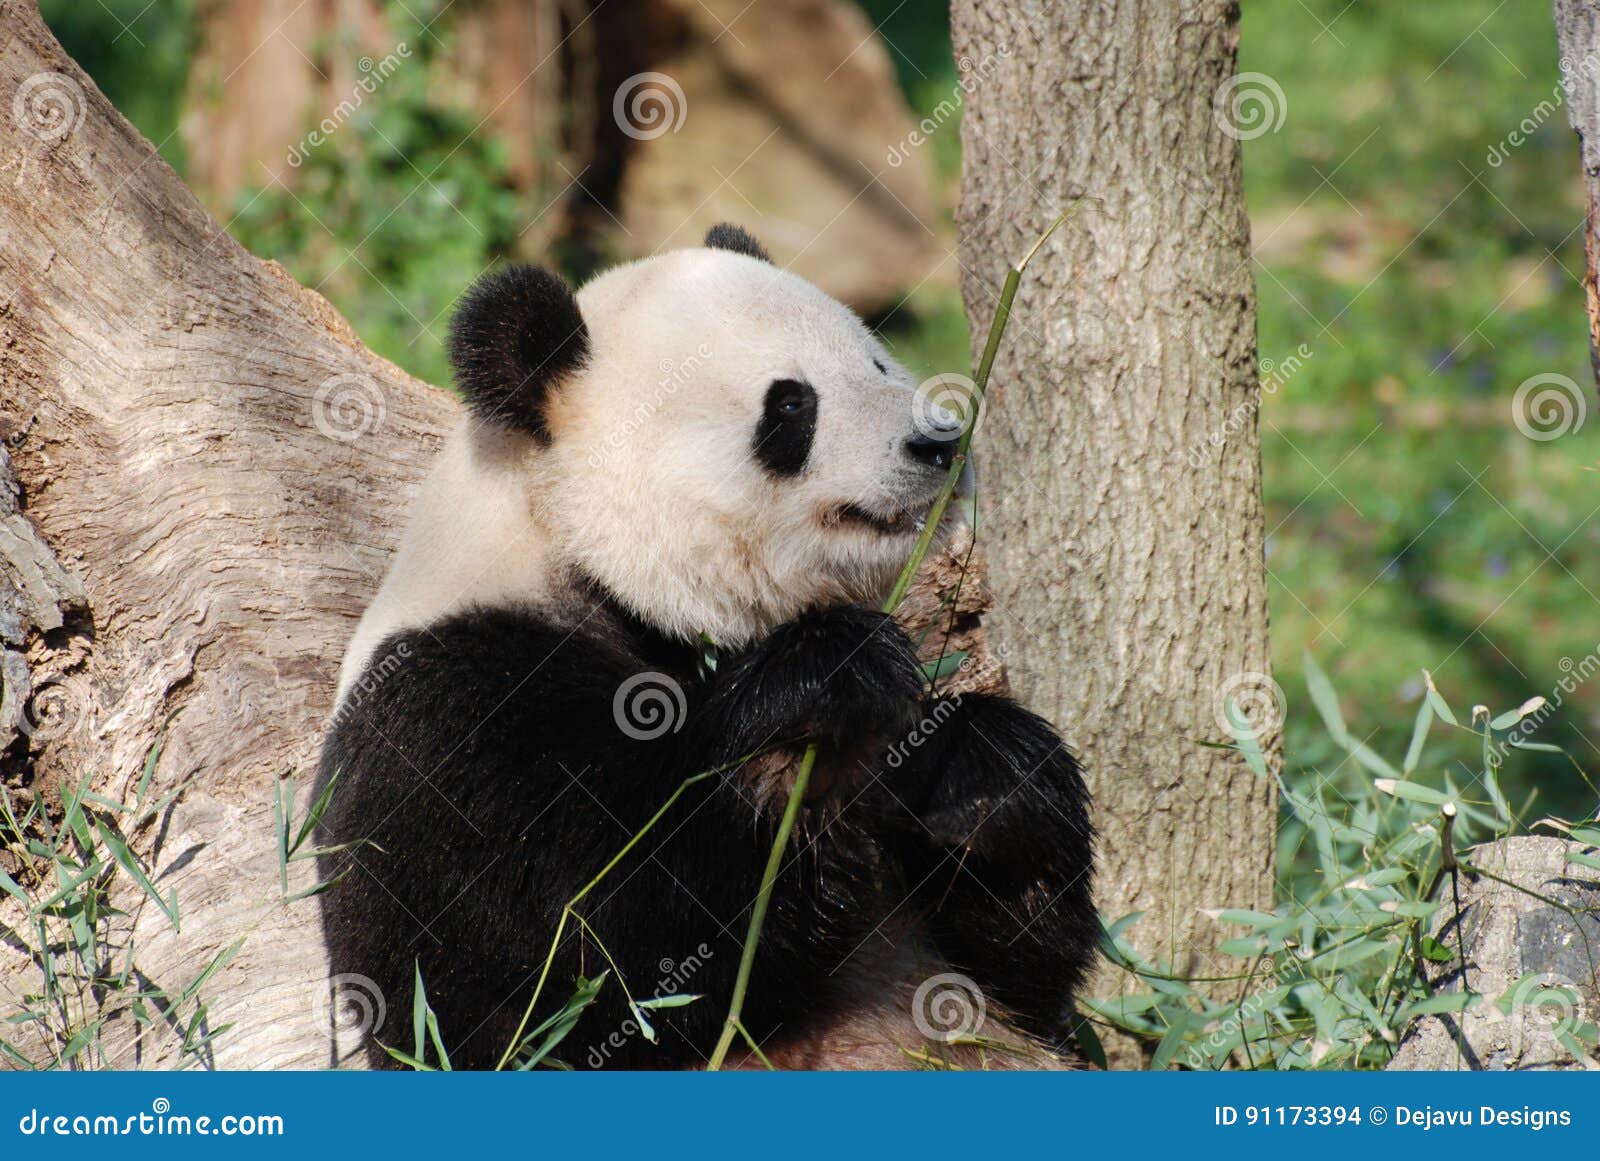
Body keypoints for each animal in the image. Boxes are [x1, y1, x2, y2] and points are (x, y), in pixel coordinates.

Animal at [314, 224, 1096, 1070]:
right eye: (790, 404)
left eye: (877, 362)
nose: (937, 441)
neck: (559, 540)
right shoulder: (450, 713)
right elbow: (579, 959)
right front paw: (821, 688)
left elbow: (1021, 975)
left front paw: (978, 771)